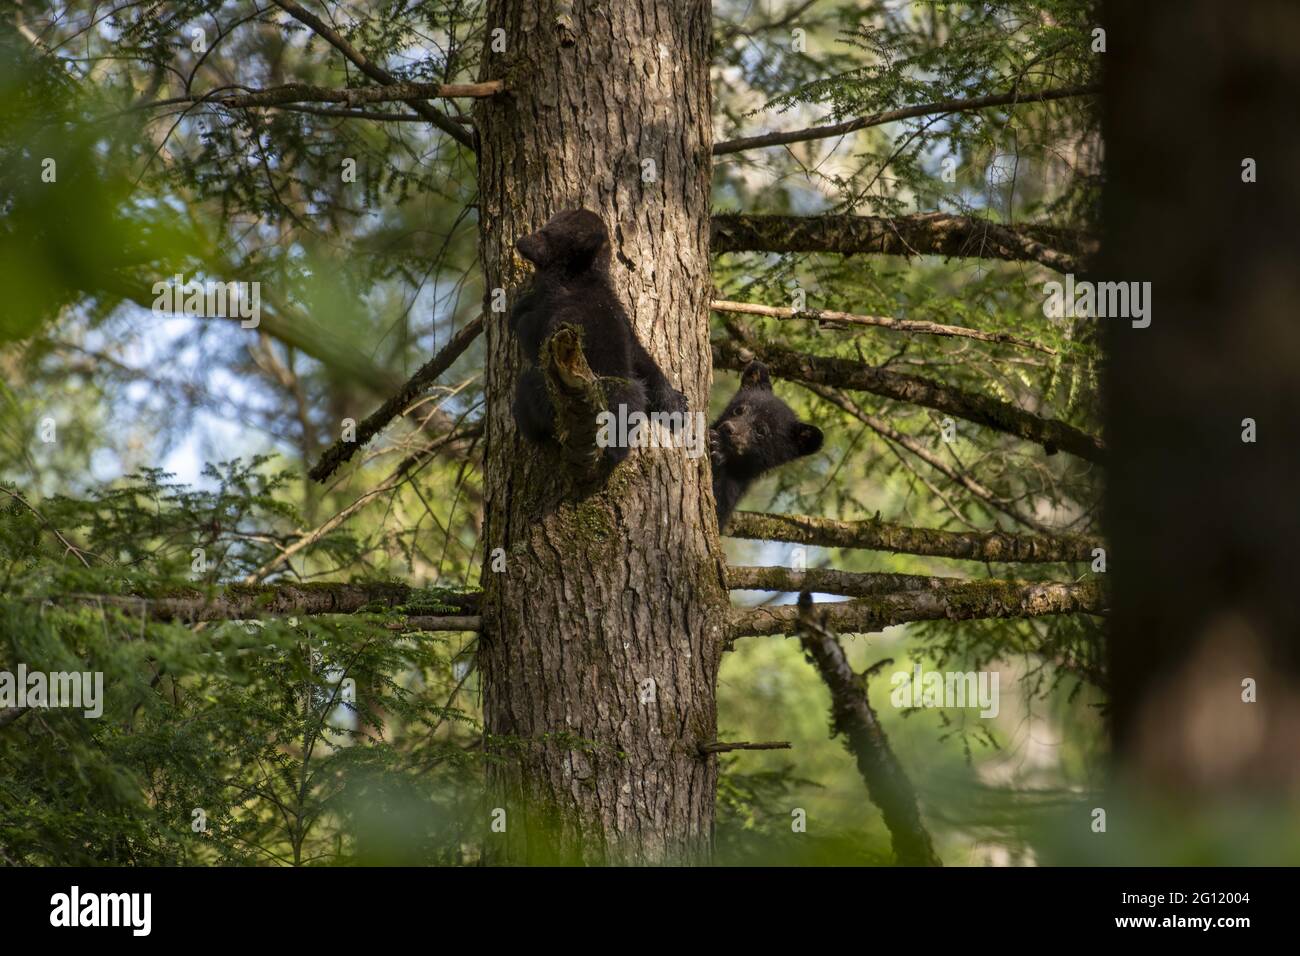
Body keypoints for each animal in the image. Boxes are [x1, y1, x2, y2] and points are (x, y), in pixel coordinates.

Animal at [509, 208, 688, 463]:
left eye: (547, 229)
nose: (522, 241)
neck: (579, 276)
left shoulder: (551, 307)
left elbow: (531, 333)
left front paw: (517, 311)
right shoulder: (619, 315)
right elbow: (639, 355)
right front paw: (676, 402)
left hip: (546, 393)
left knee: (528, 387)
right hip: (625, 391)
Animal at [710, 360, 824, 528]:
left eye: (761, 430)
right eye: (739, 410)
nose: (728, 429)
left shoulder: (736, 483)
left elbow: (718, 510)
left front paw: (717, 447)